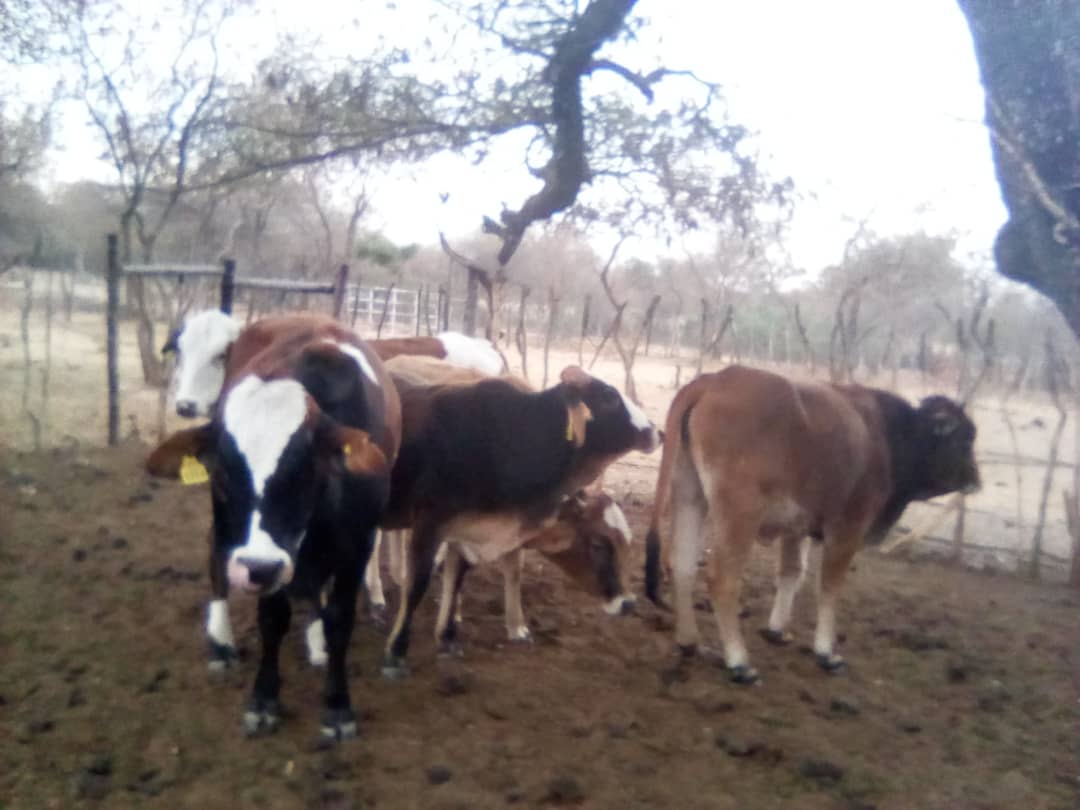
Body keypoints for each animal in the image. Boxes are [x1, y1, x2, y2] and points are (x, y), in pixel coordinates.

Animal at [147, 333, 400, 741]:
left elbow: (340, 619)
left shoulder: (357, 545)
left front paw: (337, 706)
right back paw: (222, 643)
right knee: (216, 556)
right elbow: (272, 619)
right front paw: (264, 700)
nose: (260, 567)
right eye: (222, 474)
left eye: (305, 470)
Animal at [378, 361, 661, 678]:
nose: (627, 603)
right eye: (609, 397)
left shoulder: (469, 532)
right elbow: (418, 585)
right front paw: (396, 653)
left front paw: (449, 637)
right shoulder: (430, 525)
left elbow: (458, 579)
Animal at [643, 365, 980, 684]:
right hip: (740, 512)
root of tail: (718, 379)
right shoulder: (848, 527)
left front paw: (777, 630)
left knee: (683, 565)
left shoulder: (797, 526)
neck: (891, 436)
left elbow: (792, 572)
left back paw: (689, 641)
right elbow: (829, 585)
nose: (976, 481)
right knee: (722, 579)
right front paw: (826, 652)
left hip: (689, 494)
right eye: (964, 440)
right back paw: (739, 663)